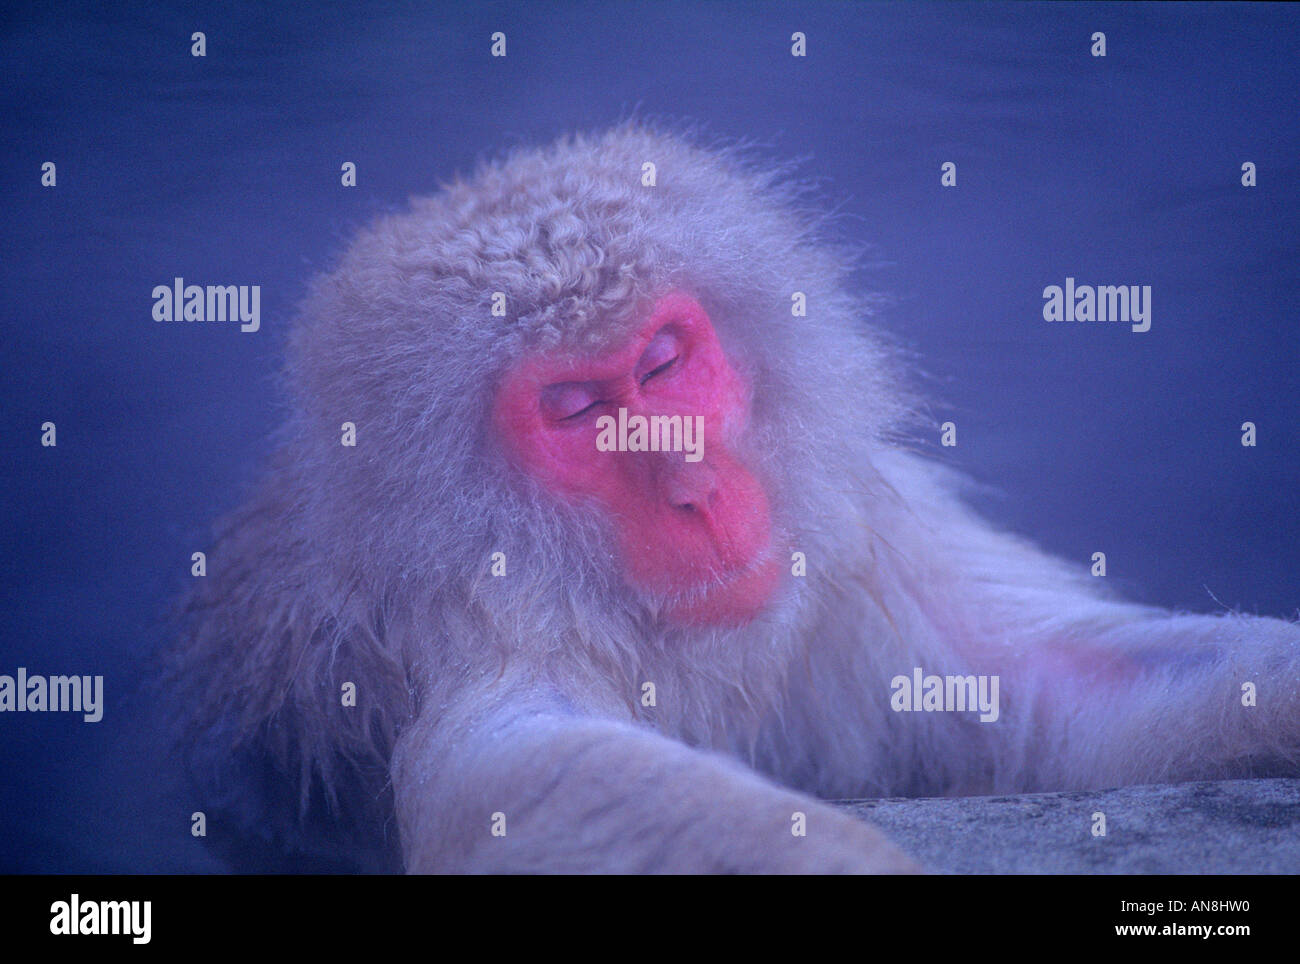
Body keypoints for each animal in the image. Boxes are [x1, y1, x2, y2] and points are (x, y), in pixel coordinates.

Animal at [171, 120, 1300, 874]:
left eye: (663, 362)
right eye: (577, 408)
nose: (695, 488)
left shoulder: (858, 554)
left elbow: (1048, 693)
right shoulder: (473, 640)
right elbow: (521, 786)